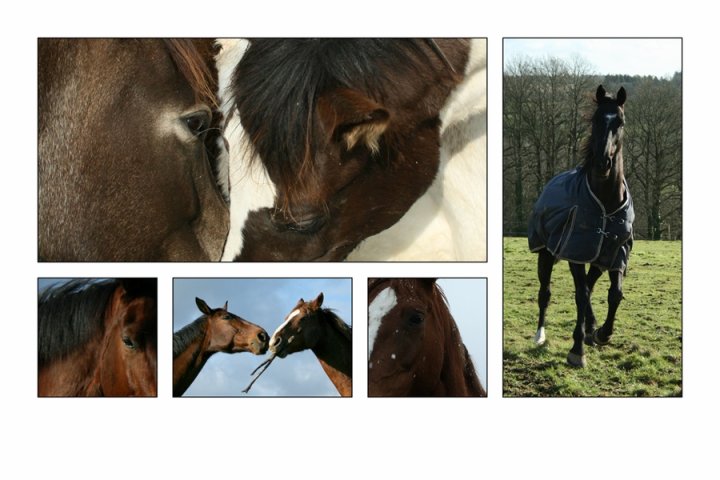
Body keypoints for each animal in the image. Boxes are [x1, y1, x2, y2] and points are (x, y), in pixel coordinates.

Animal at [528, 85, 633, 368]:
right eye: (596, 120)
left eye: (620, 121)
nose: (602, 163)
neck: (605, 203)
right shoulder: (576, 251)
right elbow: (581, 295)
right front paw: (577, 350)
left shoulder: (616, 253)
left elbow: (614, 294)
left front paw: (602, 333)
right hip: (546, 253)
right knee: (546, 293)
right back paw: (540, 335)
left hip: (597, 259)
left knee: (589, 284)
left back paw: (591, 328)